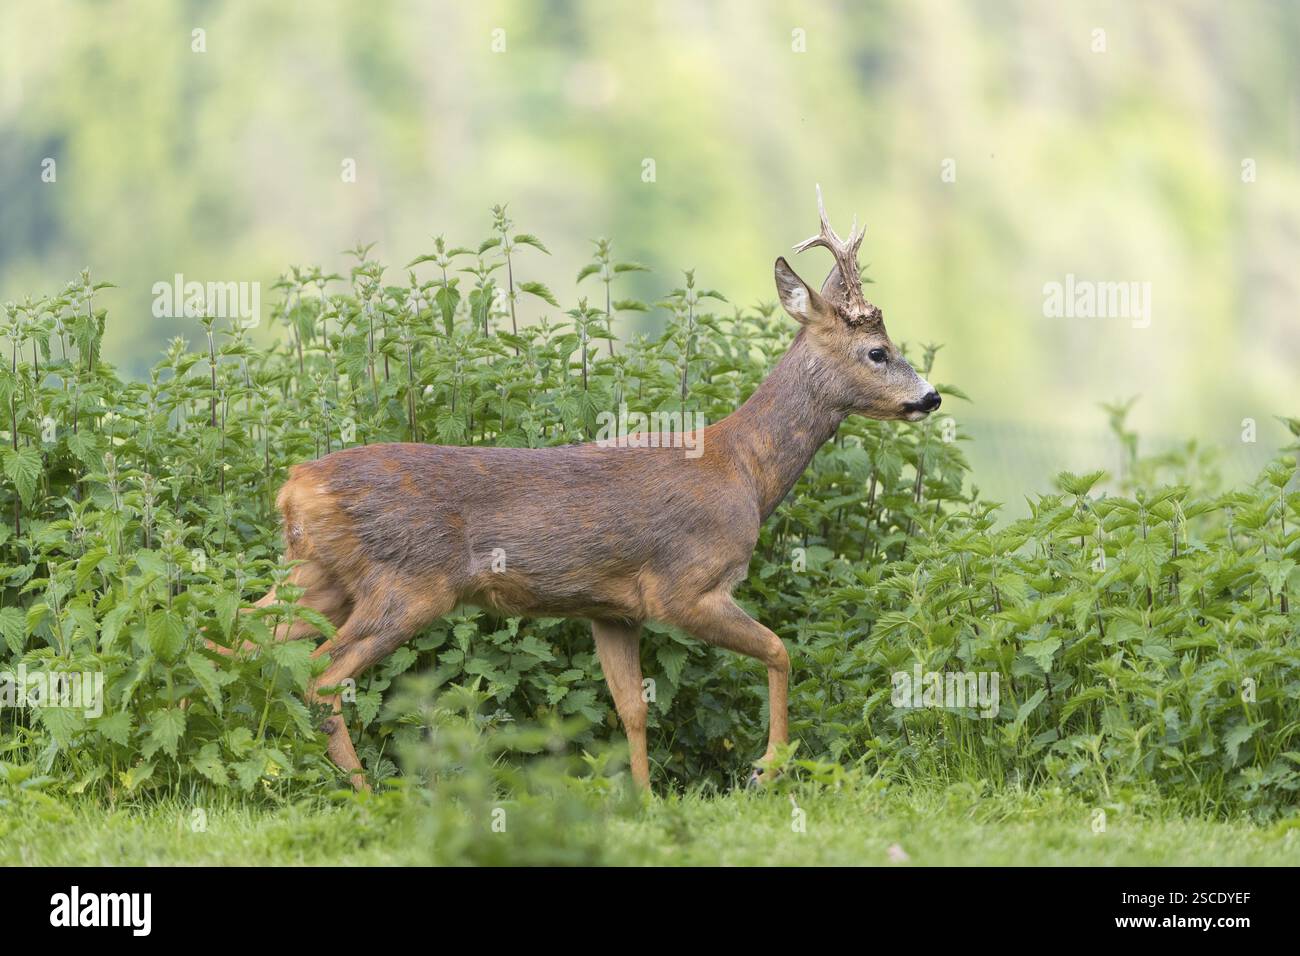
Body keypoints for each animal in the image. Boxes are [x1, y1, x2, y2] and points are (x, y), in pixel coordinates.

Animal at [239, 188, 941, 790]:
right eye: (878, 352)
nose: (931, 397)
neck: (743, 469)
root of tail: (295, 486)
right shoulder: (684, 587)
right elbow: (780, 651)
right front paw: (765, 770)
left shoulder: (611, 609)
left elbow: (631, 707)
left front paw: (646, 800)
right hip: (405, 583)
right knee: (319, 678)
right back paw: (364, 791)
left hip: (319, 574)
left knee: (245, 637)